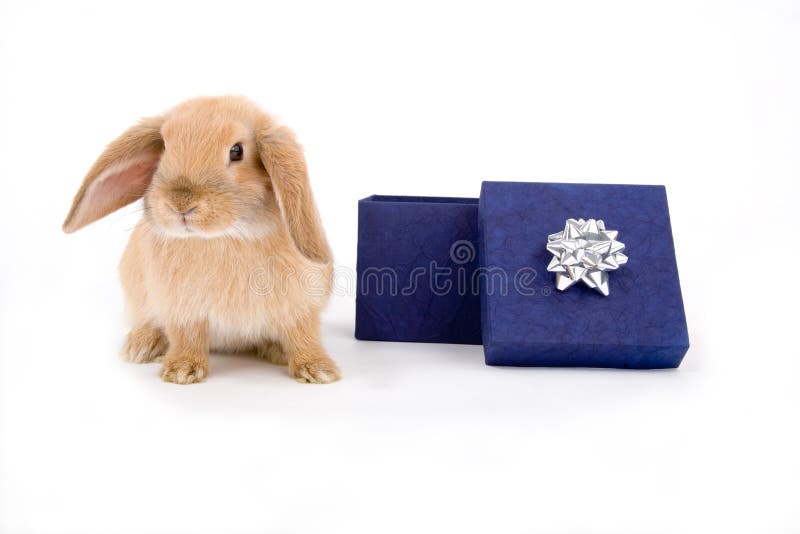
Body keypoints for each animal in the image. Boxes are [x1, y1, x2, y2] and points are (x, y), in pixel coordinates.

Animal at [63, 96, 340, 384]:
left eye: (237, 151)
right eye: (164, 146)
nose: (181, 203)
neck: (226, 236)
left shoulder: (301, 305)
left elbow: (303, 335)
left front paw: (319, 370)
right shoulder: (182, 308)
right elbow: (187, 336)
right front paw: (181, 371)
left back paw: (275, 350)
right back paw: (140, 347)